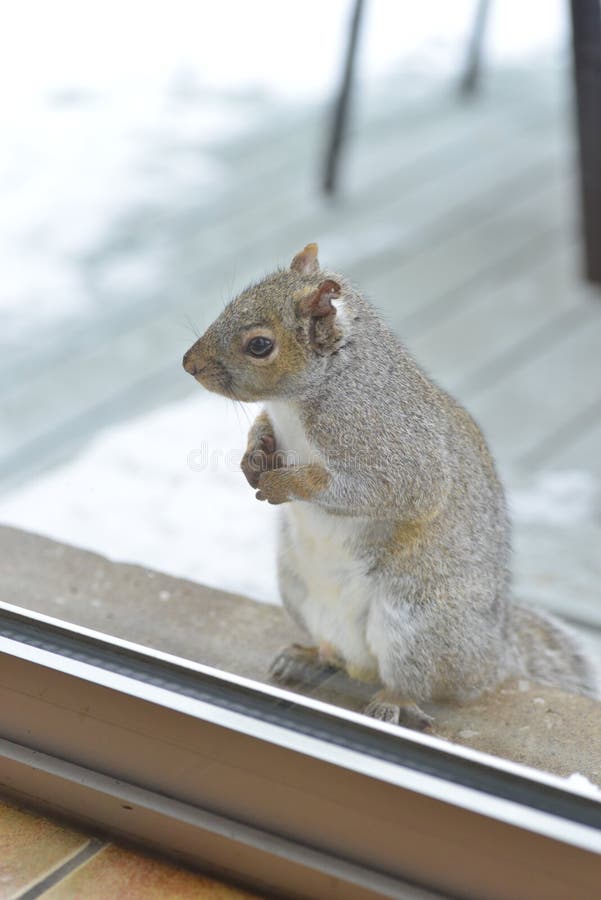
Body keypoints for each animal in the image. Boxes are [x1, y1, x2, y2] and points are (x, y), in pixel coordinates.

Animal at [183, 242, 598, 729]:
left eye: (260, 345)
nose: (188, 364)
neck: (306, 396)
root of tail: (489, 663)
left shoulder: (390, 443)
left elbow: (389, 489)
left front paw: (286, 481)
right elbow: (262, 429)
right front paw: (253, 456)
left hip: (414, 622)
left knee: (413, 681)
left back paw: (393, 700)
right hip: (297, 588)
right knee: (334, 652)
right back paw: (308, 655)